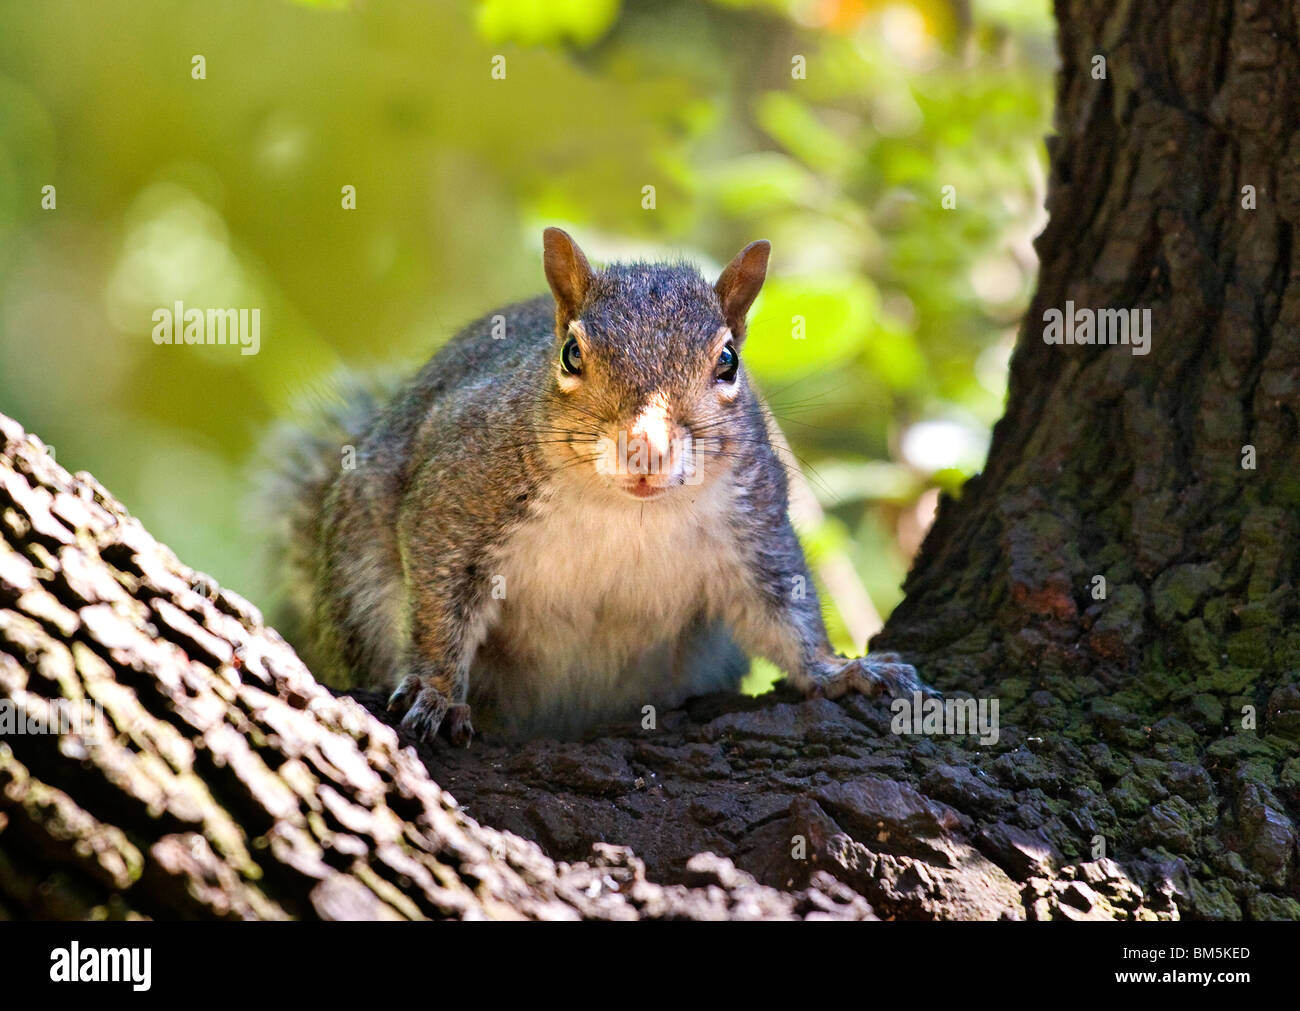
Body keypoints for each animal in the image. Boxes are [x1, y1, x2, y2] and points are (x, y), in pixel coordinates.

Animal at [258, 228, 925, 745]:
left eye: (729, 361)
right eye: (571, 353)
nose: (646, 450)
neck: (623, 511)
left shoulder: (754, 521)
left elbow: (785, 611)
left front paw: (842, 669)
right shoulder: (458, 497)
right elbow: (438, 603)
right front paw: (439, 690)